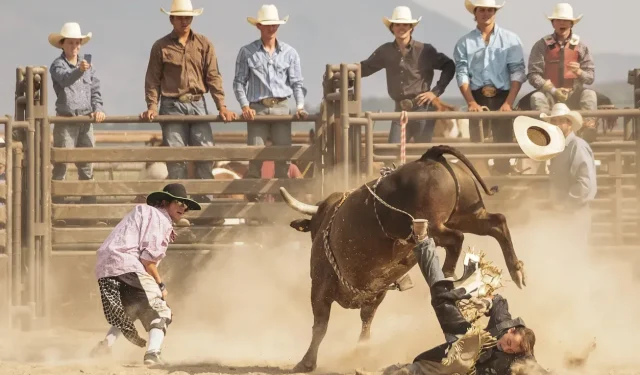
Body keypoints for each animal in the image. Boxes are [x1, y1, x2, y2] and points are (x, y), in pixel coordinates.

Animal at [278, 145, 524, 374]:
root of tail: (428, 157)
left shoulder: (320, 285)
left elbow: (320, 325)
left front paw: (306, 362)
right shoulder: (377, 292)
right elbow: (366, 323)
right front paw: (361, 353)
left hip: (431, 225)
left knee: (457, 238)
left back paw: (448, 275)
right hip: (467, 215)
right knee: (497, 223)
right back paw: (515, 271)